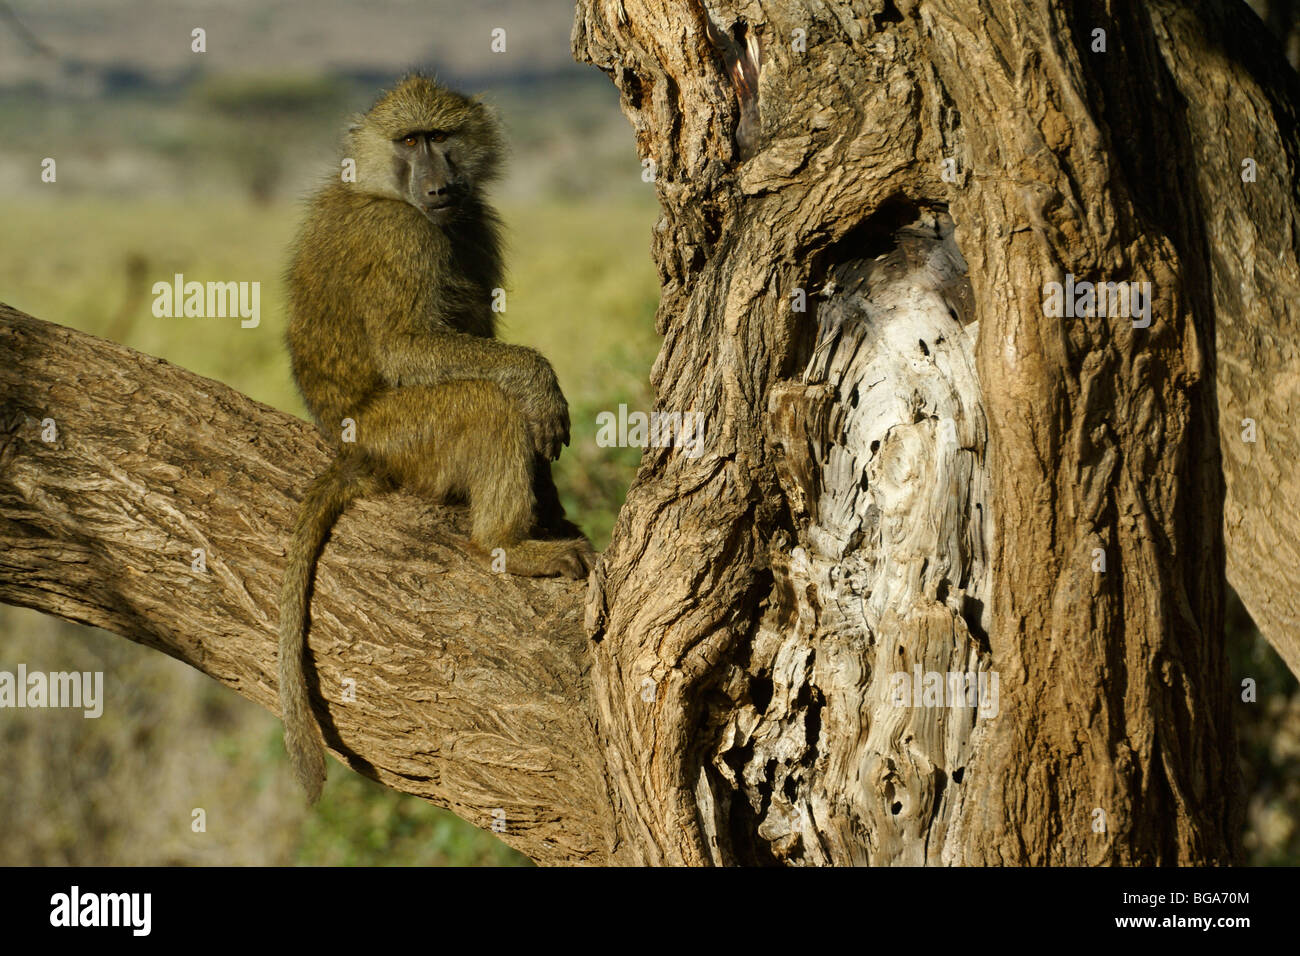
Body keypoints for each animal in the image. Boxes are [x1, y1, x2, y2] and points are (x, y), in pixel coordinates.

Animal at [278, 73, 596, 802]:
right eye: (409, 141)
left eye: (442, 137)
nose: (439, 184)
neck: (388, 192)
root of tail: (355, 451)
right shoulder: (401, 235)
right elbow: (410, 347)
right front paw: (539, 382)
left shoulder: (473, 222)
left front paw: (555, 505)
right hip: (404, 438)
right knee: (486, 405)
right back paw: (505, 546)